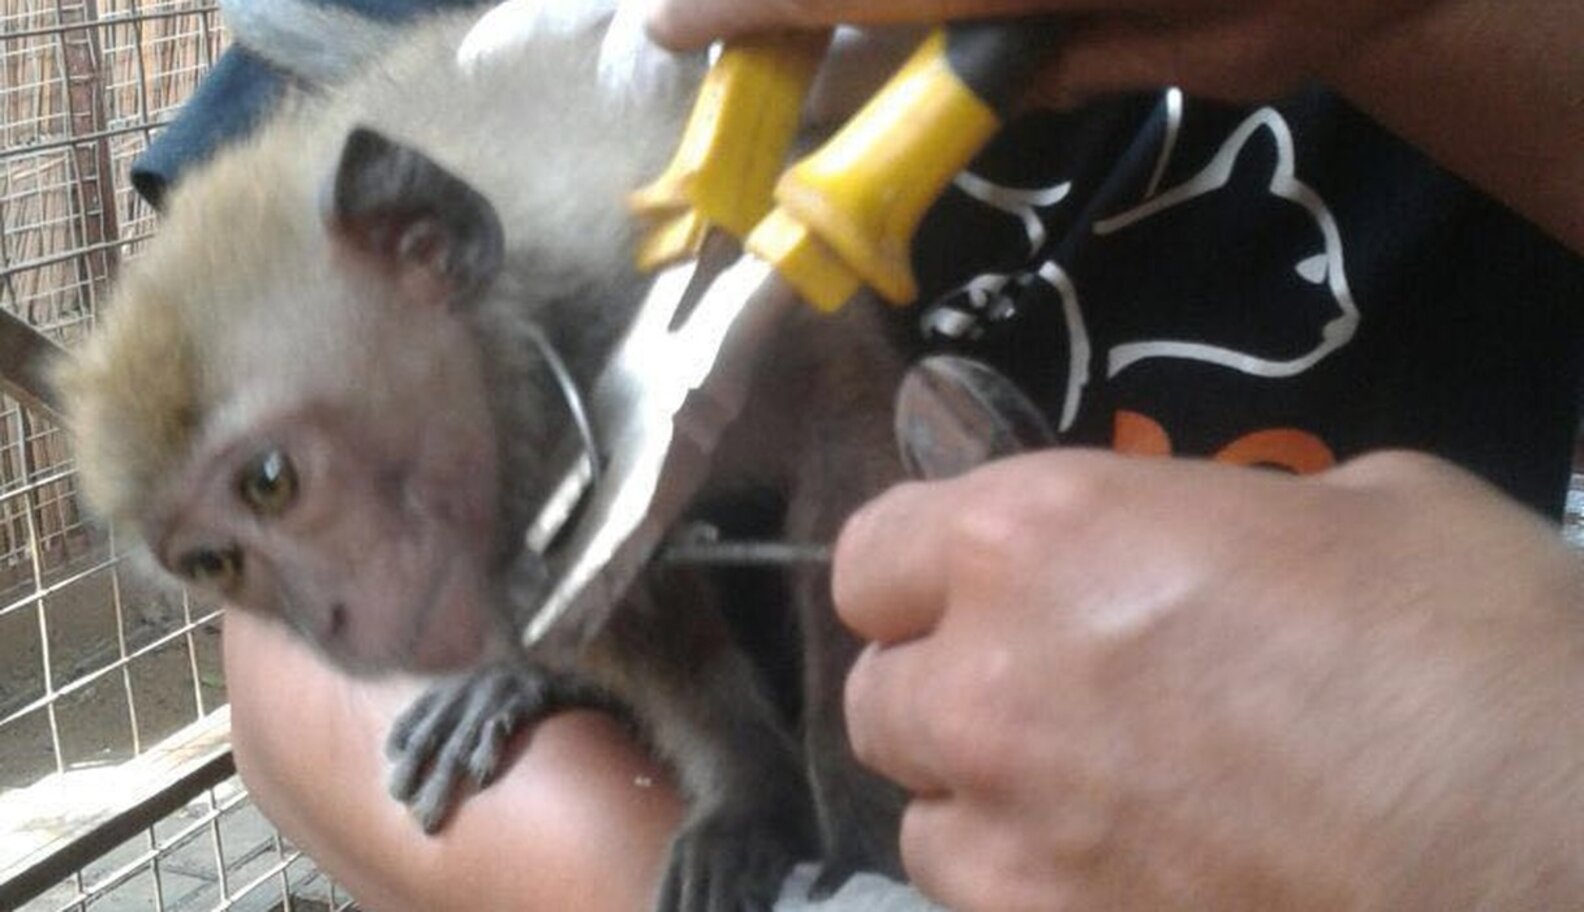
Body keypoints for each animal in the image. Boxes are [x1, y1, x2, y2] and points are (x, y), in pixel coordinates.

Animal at [54, 5, 911, 910]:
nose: (326, 623)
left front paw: (861, 813)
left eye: (271, 482)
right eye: (214, 562)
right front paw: (749, 794)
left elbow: (852, 475)